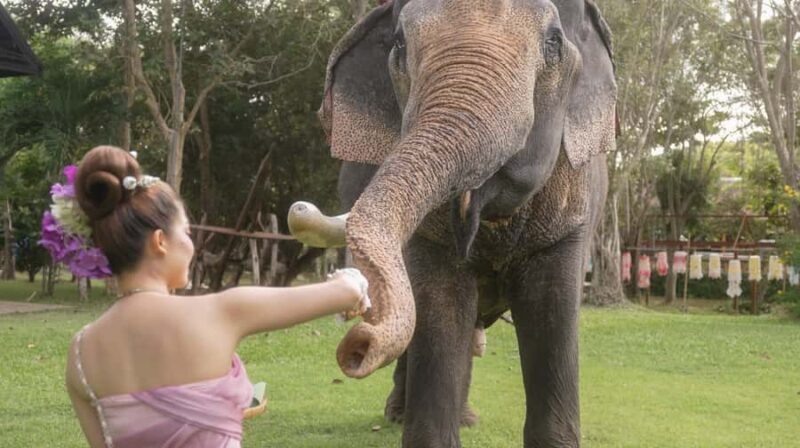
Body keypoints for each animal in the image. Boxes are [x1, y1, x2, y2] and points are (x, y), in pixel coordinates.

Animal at [288, 0, 616, 446]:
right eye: (399, 44)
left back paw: (466, 418)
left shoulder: (573, 209)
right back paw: (401, 414)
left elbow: (553, 312)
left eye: (553, 42)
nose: (356, 347)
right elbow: (440, 310)